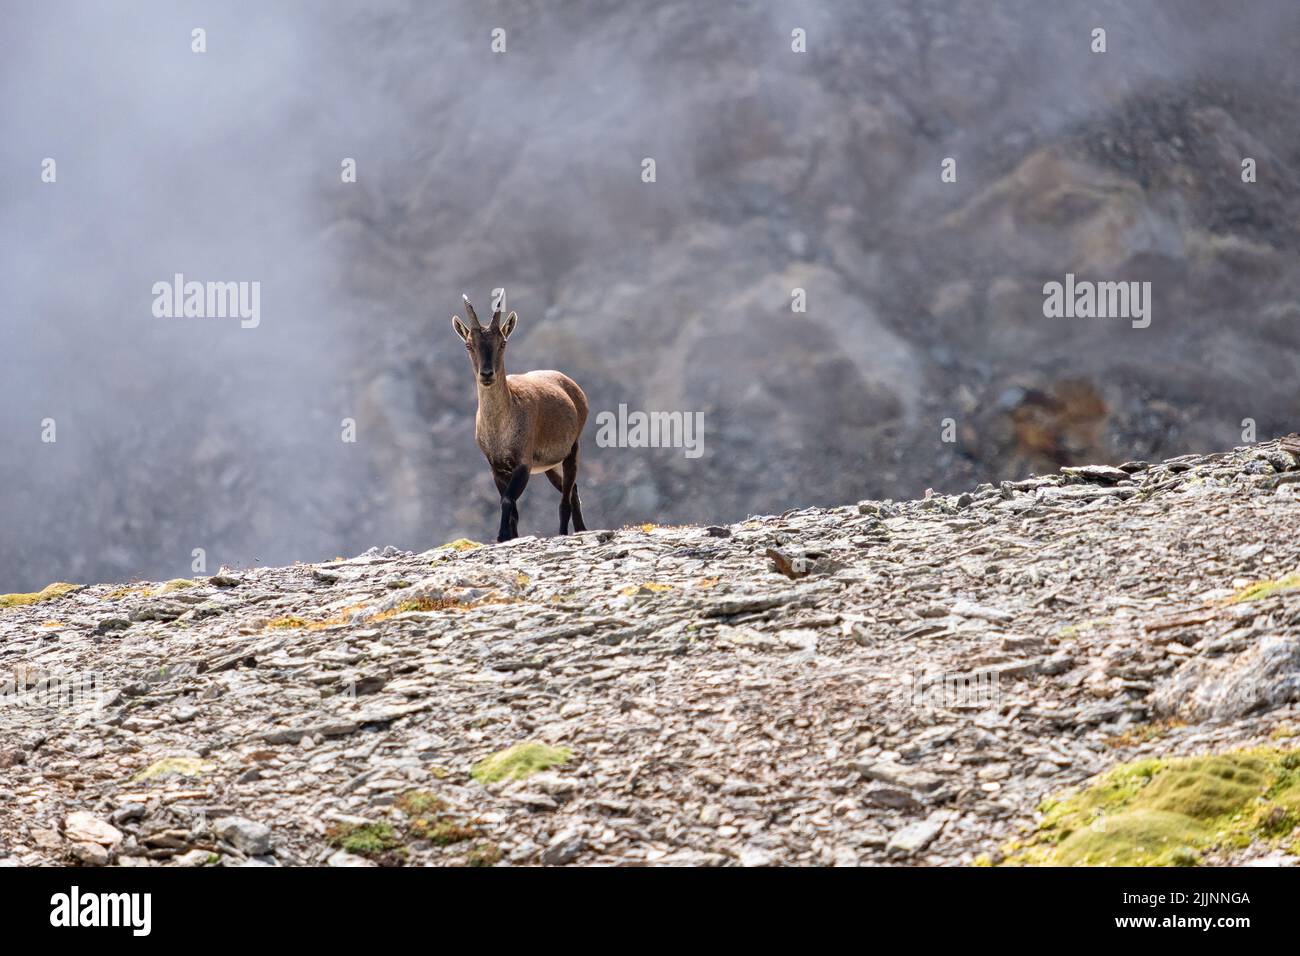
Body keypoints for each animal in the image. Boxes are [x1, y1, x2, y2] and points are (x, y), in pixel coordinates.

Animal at [452, 294, 588, 542]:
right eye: (468, 344)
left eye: (503, 343)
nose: (487, 374)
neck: (501, 427)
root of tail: (572, 385)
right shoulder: (496, 467)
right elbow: (510, 505)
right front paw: (511, 536)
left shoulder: (523, 463)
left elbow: (508, 499)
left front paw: (503, 535)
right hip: (549, 466)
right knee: (572, 490)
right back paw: (581, 529)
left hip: (572, 448)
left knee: (566, 497)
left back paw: (565, 533)